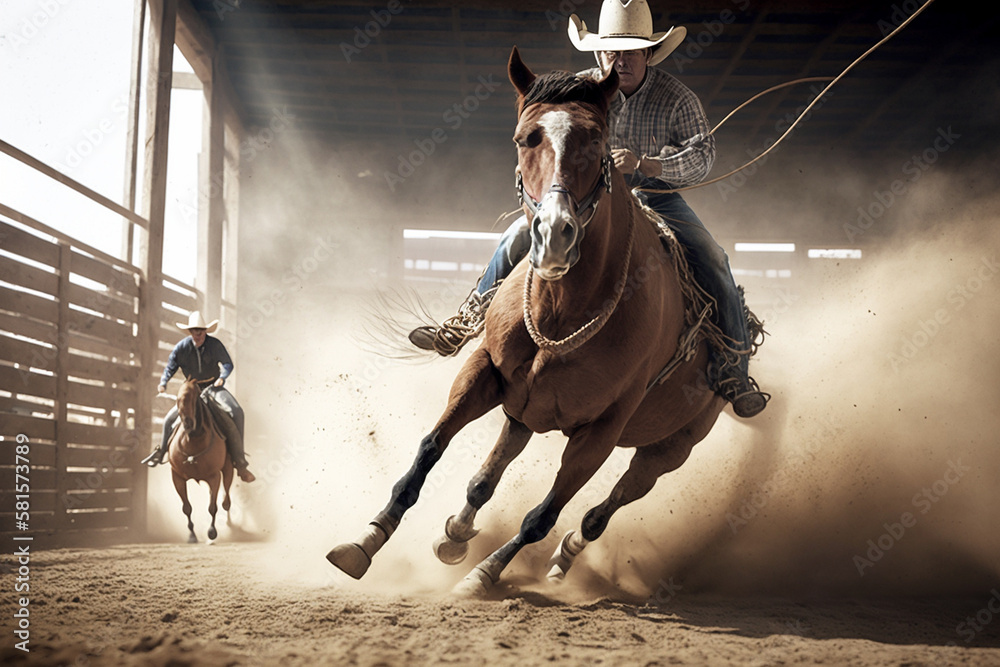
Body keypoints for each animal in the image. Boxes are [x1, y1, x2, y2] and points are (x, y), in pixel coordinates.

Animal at [167, 377, 234, 543]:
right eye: (178, 399)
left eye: (194, 398)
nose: (188, 423)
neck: (193, 440)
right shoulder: (177, 477)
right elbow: (186, 508)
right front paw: (192, 535)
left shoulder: (214, 477)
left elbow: (213, 507)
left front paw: (212, 532)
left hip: (228, 470)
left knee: (226, 501)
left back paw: (230, 525)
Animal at [328, 46, 732, 597]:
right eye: (525, 138)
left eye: (597, 140)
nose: (554, 235)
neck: (561, 308)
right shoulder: (485, 371)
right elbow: (430, 449)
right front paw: (366, 540)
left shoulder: (603, 429)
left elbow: (542, 516)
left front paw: (482, 577)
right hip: (525, 408)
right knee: (489, 476)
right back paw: (456, 534)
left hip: (670, 448)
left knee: (601, 512)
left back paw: (560, 560)